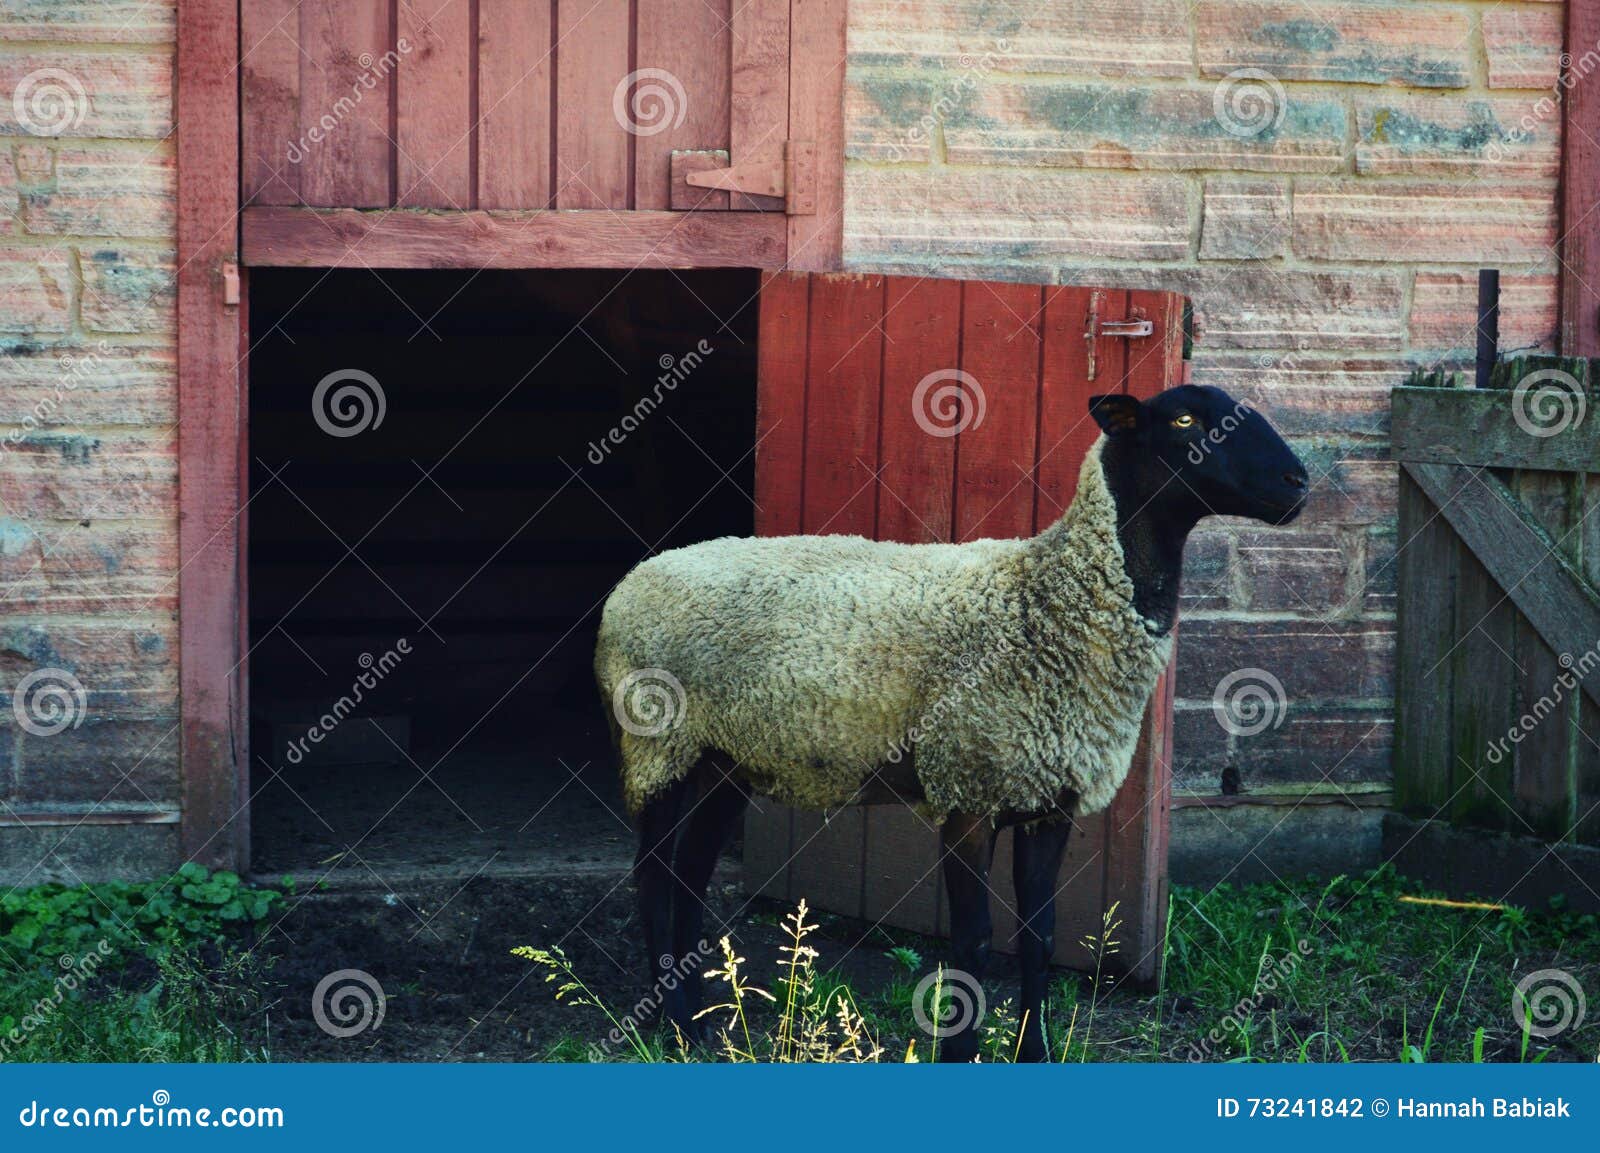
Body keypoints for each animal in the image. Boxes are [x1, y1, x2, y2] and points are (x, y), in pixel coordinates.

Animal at [595, 384, 1309, 1061]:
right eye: (1185, 422)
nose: (1297, 483)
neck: (1049, 598)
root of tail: (636, 579)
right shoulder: (968, 788)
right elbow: (973, 942)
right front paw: (960, 1052)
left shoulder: (1050, 800)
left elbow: (1039, 937)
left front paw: (1034, 1054)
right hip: (659, 746)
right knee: (653, 872)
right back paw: (674, 1025)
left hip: (726, 758)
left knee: (689, 874)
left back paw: (698, 1018)